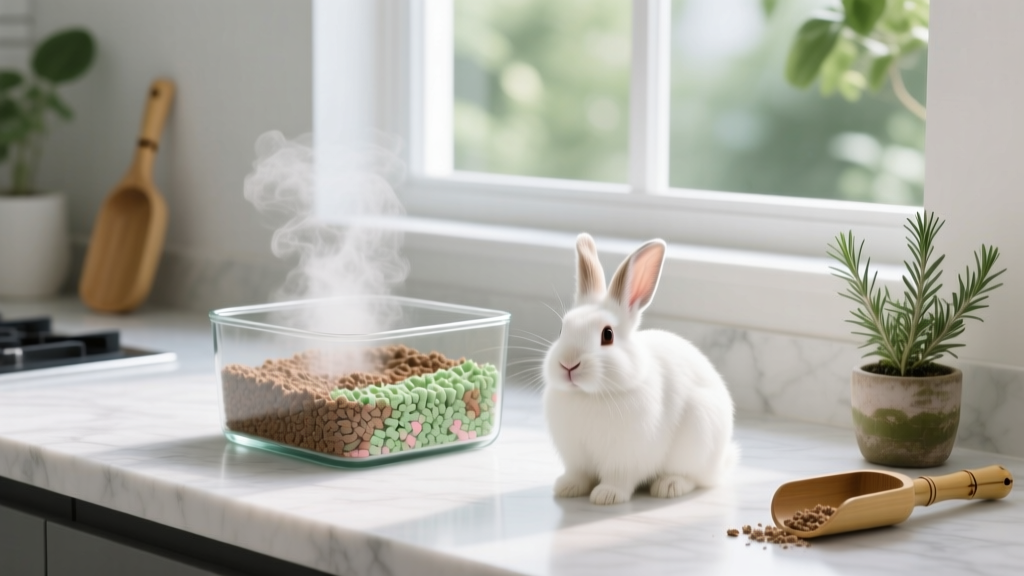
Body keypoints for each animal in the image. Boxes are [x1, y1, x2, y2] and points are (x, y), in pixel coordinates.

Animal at [543, 233, 739, 505]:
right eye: (562, 329)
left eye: (608, 335)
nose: (568, 364)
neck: (589, 395)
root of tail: (720, 463)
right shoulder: (576, 458)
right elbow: (579, 474)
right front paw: (567, 488)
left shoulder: (625, 458)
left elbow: (619, 479)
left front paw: (606, 496)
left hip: (699, 435)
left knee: (694, 478)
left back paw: (669, 486)